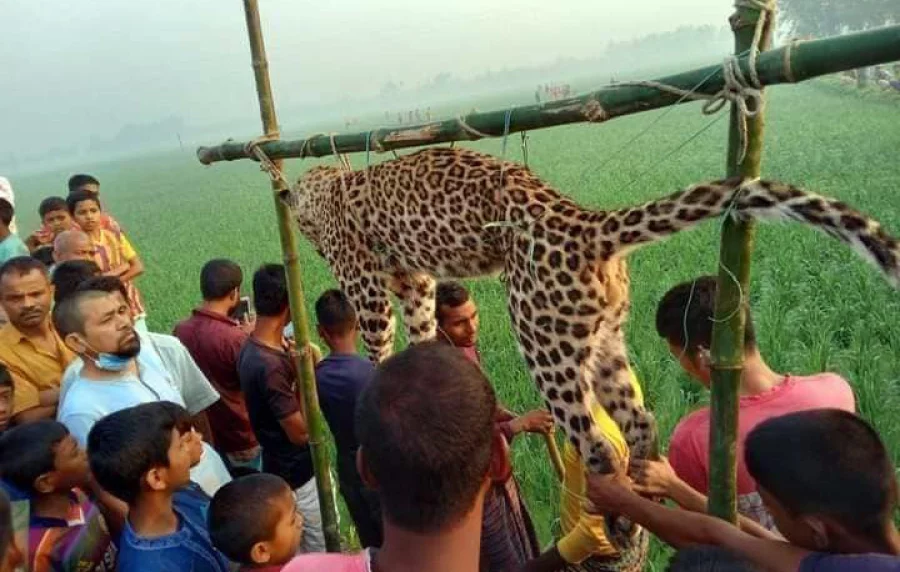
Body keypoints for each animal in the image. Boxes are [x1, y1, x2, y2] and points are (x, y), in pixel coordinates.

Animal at [287, 146, 900, 480]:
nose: (294, 211)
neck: (326, 185)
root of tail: (585, 221)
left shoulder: (365, 284)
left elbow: (377, 337)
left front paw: (383, 372)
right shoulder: (414, 281)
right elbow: (417, 323)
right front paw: (421, 362)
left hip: (542, 341)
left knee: (593, 442)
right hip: (602, 339)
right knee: (639, 418)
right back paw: (646, 480)